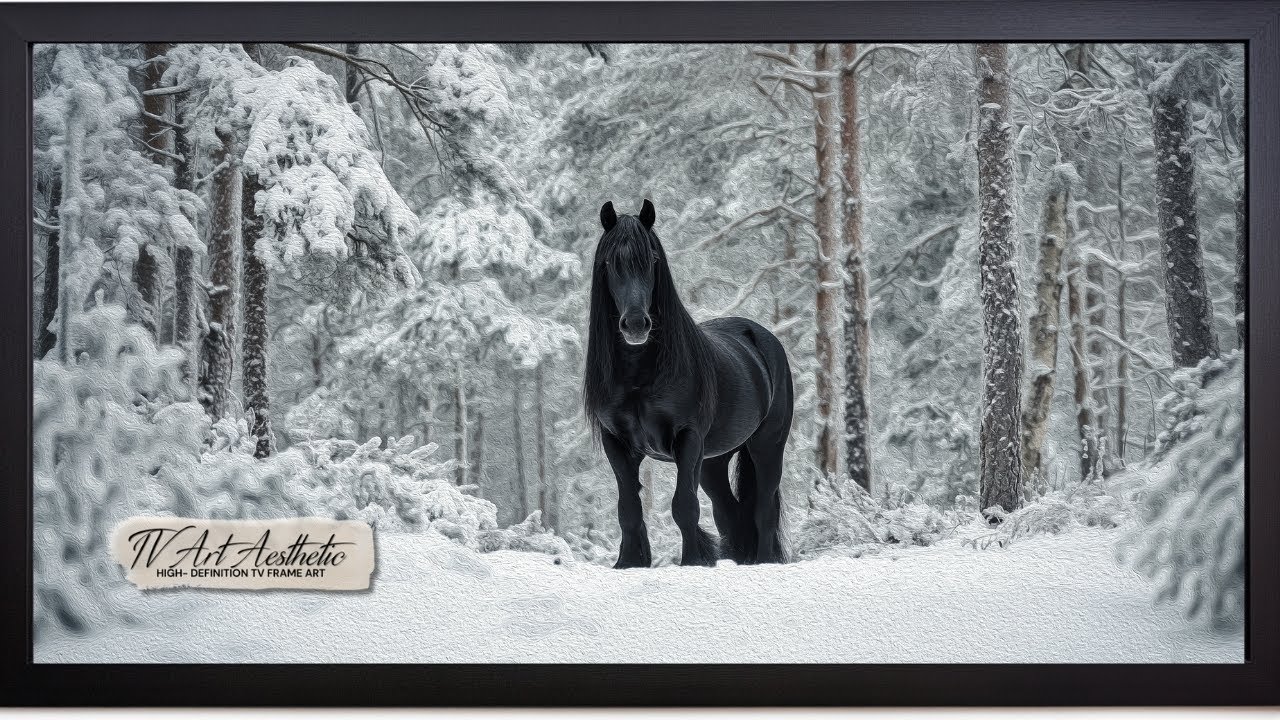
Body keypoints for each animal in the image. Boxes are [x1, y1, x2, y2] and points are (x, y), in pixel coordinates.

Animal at [583, 199, 794, 568]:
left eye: (652, 260)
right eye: (610, 263)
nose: (636, 324)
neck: (640, 376)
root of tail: (762, 338)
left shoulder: (688, 438)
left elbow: (684, 506)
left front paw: (693, 561)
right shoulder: (617, 444)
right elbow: (629, 509)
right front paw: (629, 563)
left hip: (766, 446)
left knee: (763, 509)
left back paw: (765, 560)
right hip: (713, 461)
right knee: (729, 512)